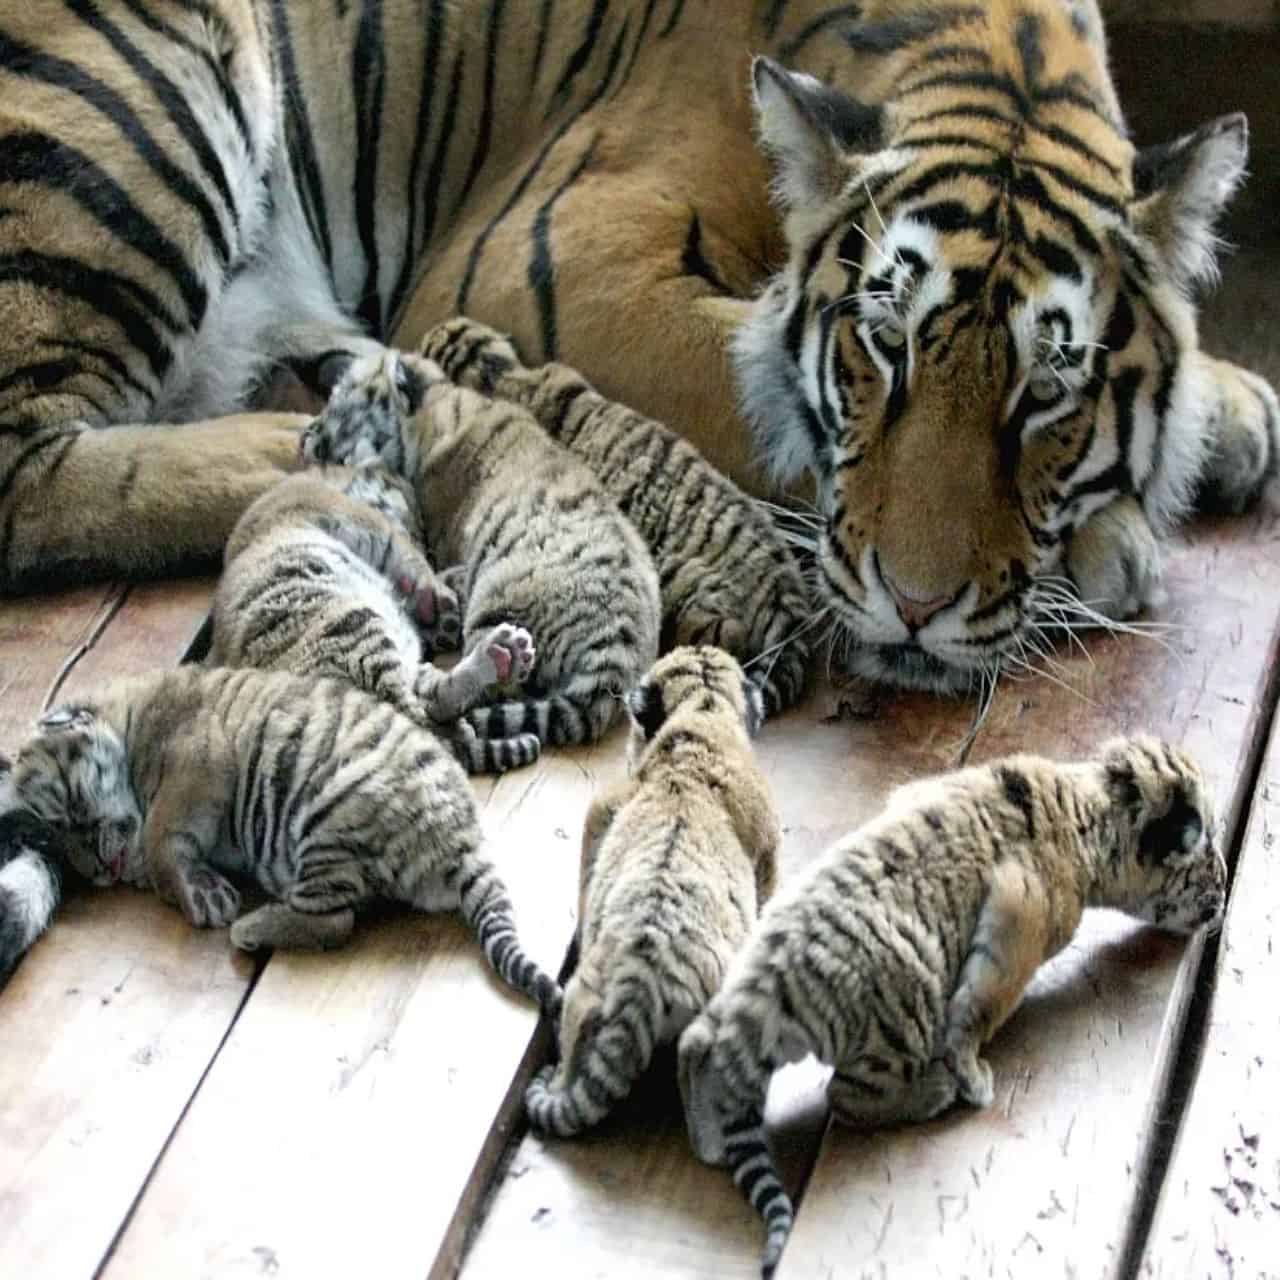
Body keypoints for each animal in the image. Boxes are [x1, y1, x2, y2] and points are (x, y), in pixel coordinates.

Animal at [8, 666, 562, 1014]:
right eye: (61, 850)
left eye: (73, 810)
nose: (98, 871)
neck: (126, 717)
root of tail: (464, 837)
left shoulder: (198, 758)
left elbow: (162, 834)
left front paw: (200, 894)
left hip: (329, 815)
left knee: (335, 922)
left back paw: (250, 926)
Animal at [210, 461, 542, 774]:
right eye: (416, 518)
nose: (422, 536)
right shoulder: (363, 520)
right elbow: (412, 559)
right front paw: (439, 600)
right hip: (352, 629)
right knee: (419, 720)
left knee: (431, 700)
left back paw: (503, 657)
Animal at [676, 734, 1227, 1277]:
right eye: (1207, 855)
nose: (1222, 896)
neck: (1092, 805)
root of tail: (764, 993)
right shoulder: (1020, 917)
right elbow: (982, 1006)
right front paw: (973, 1077)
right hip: (905, 1013)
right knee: (845, 1097)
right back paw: (934, 1091)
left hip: (731, 988)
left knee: (695, 1045)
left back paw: (707, 1138)